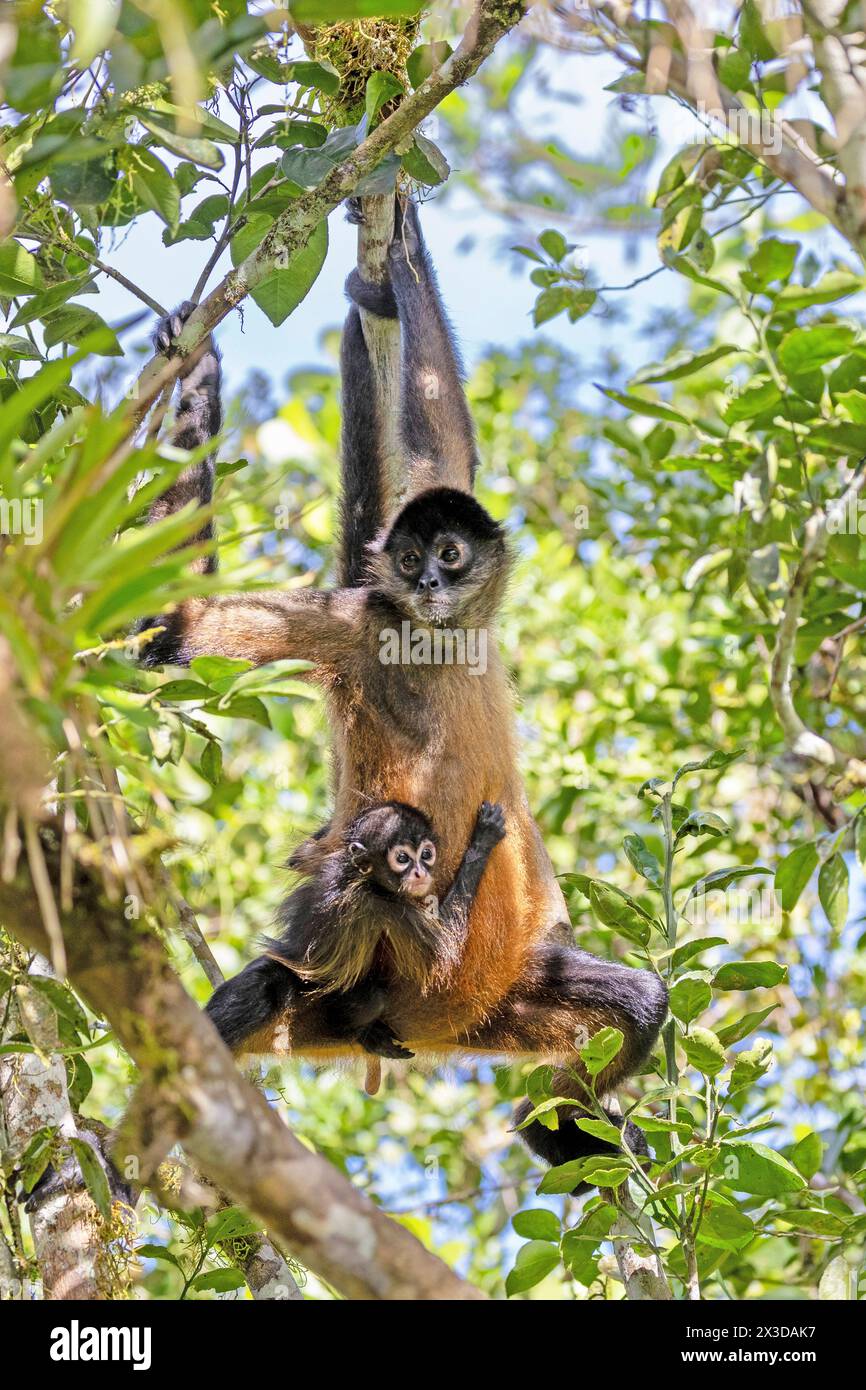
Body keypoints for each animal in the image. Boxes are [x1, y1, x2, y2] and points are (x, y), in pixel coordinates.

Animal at [208, 800, 506, 1062]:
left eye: (426, 854)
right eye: (402, 858)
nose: (420, 873)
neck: (358, 872)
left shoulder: (333, 860)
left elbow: (300, 858)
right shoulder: (384, 902)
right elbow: (444, 955)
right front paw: (483, 840)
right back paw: (360, 1033)